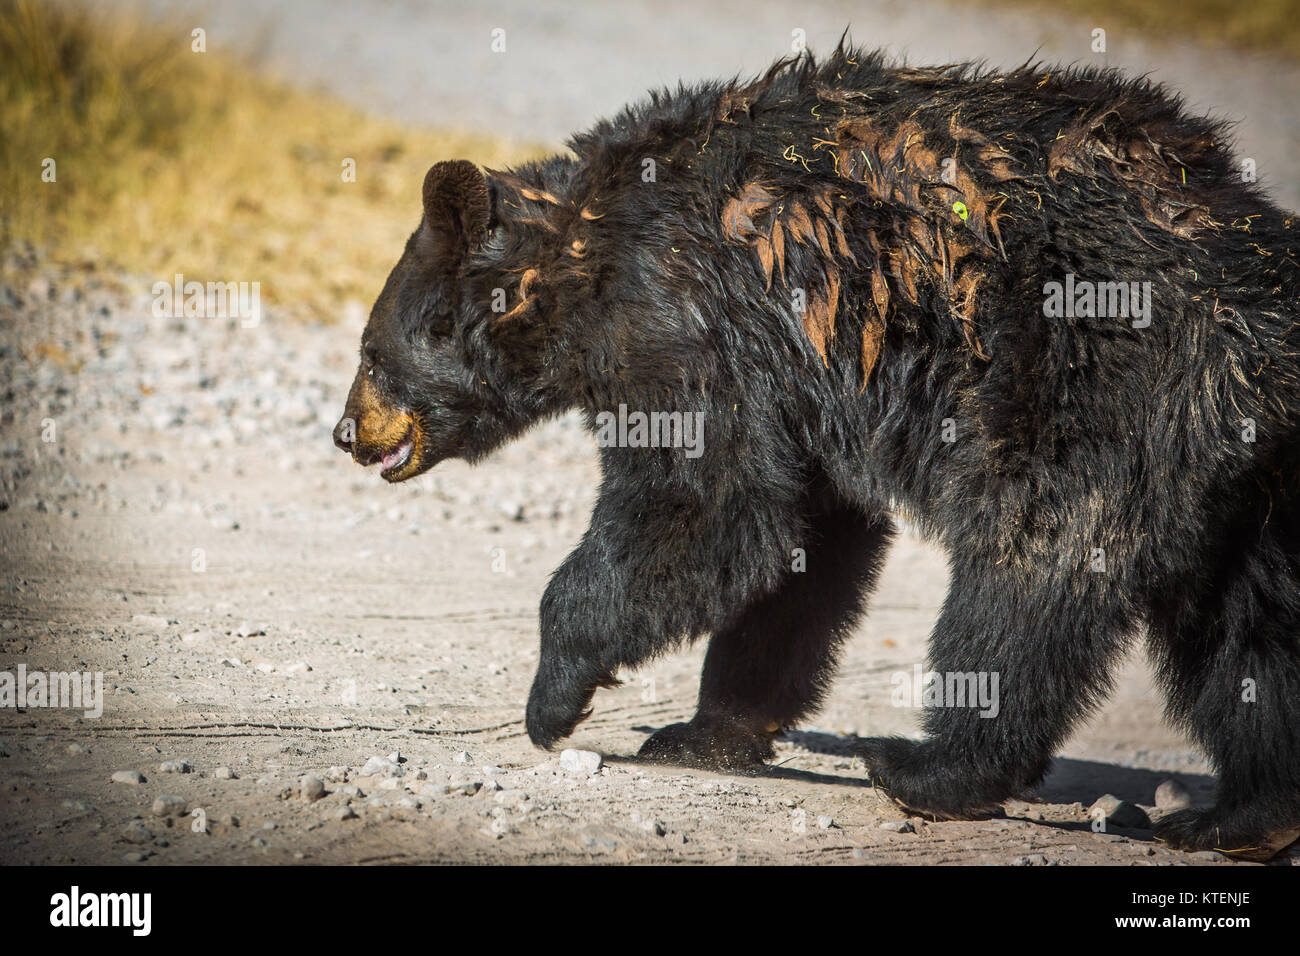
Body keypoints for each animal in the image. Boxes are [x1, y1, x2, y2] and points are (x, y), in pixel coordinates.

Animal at [333, 44, 1300, 859]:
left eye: (372, 353)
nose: (346, 432)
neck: (579, 258)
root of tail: (1256, 301)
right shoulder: (793, 384)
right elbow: (801, 543)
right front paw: (705, 732)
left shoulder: (686, 316)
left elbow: (704, 505)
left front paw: (555, 698)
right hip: (1250, 471)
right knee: (1252, 630)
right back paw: (1242, 814)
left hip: (1086, 381)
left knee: (1027, 570)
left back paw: (931, 769)